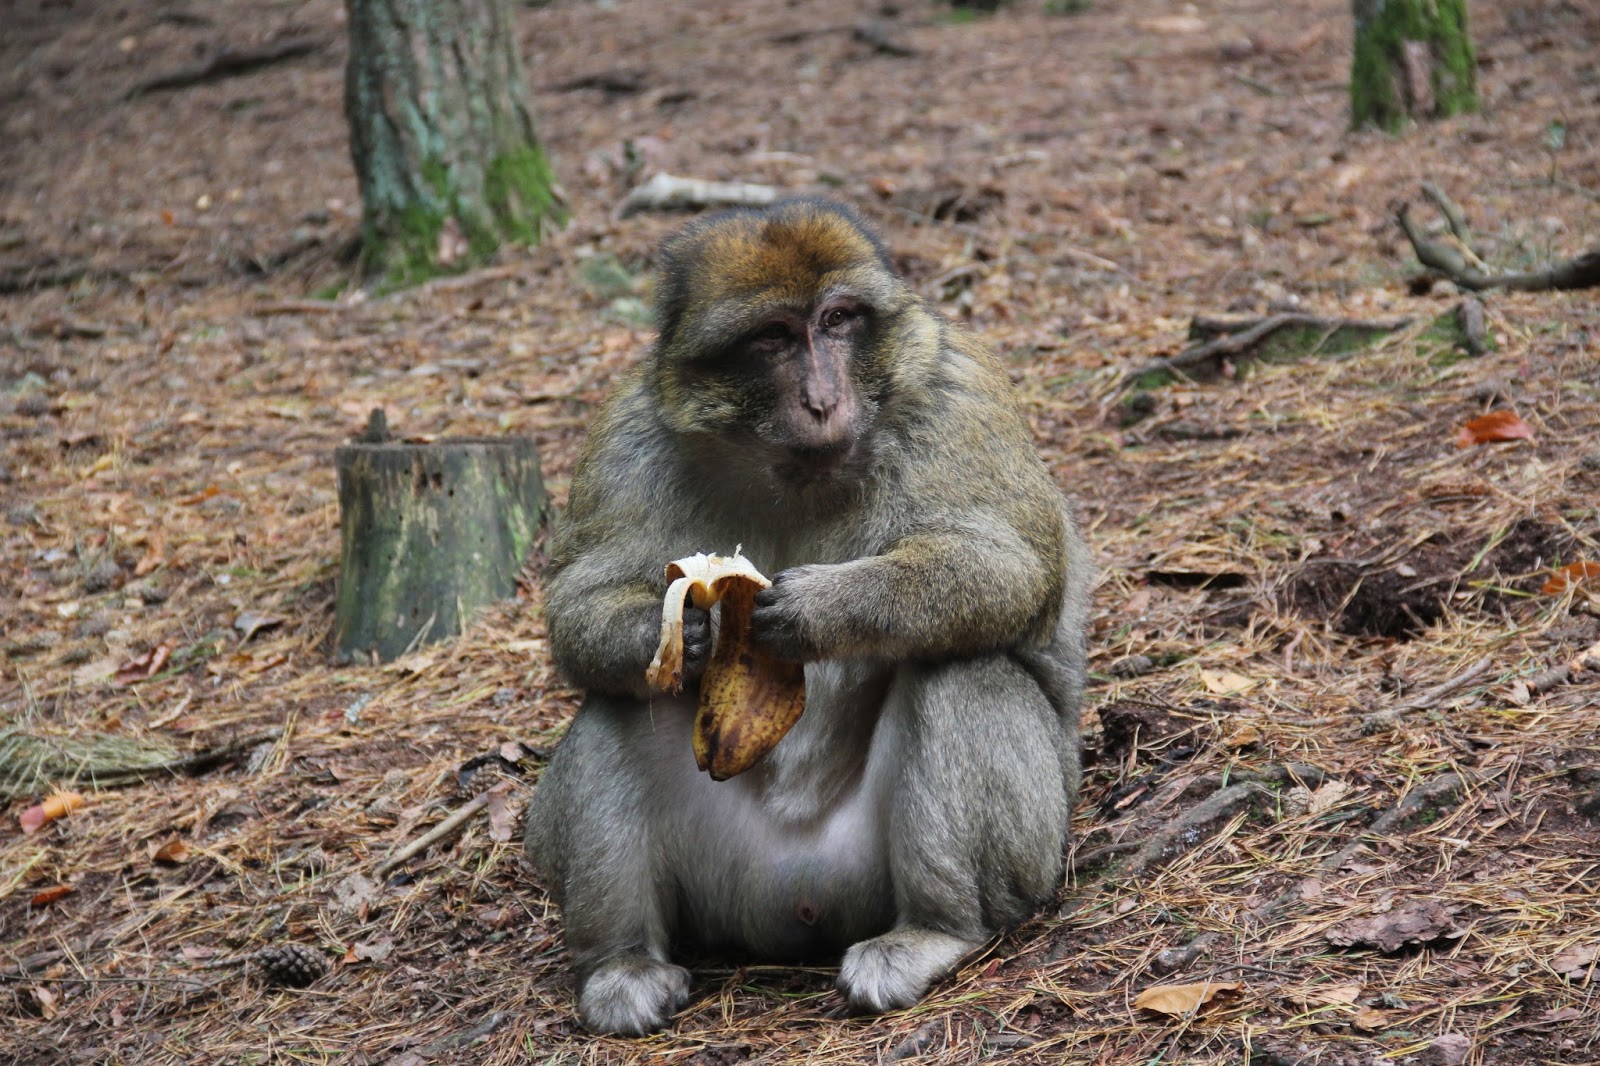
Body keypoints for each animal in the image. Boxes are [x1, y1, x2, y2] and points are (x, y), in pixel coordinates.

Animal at [524, 199, 1092, 1036]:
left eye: (838, 320)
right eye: (775, 337)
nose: (823, 399)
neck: (793, 463)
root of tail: (798, 891)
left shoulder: (957, 393)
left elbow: (1008, 568)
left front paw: (822, 608)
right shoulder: (625, 437)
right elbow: (579, 602)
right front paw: (691, 638)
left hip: (959, 859)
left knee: (962, 668)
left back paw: (937, 932)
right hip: (725, 881)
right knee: (620, 710)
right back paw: (621, 965)